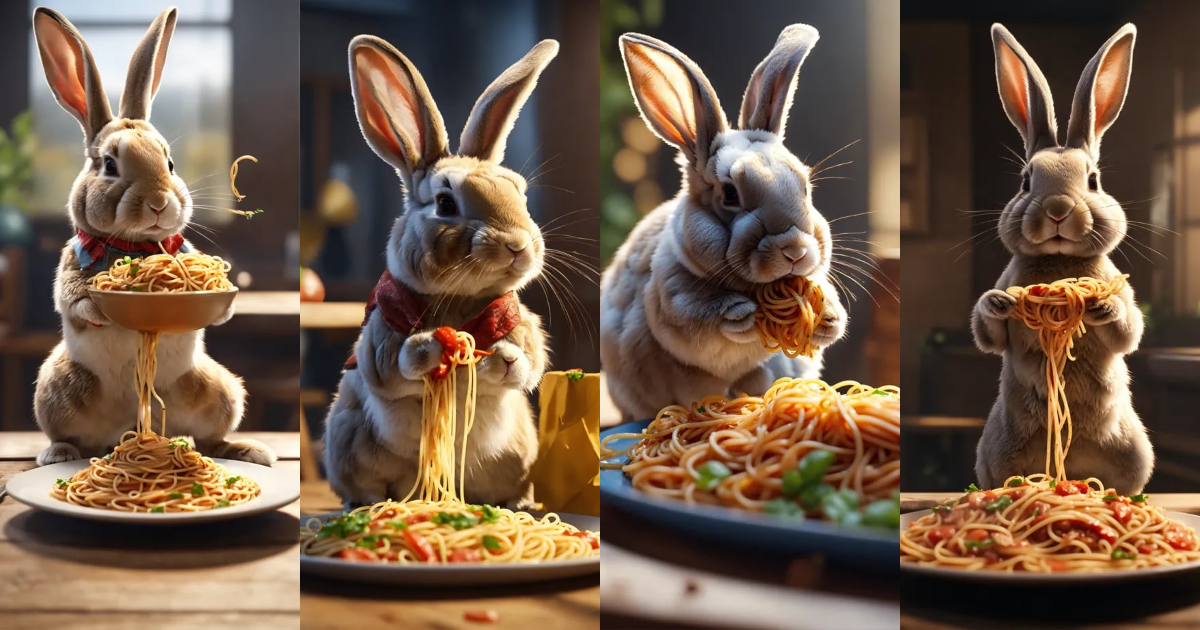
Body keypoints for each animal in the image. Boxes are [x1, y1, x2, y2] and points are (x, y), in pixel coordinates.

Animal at [30, 7, 273, 468]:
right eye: (109, 165)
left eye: (170, 163)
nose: (160, 202)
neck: (136, 245)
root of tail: (129, 427)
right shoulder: (70, 265)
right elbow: (72, 296)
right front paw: (98, 310)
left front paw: (223, 310)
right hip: (56, 391)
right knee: (68, 433)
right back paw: (58, 454)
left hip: (218, 390)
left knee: (210, 438)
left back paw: (251, 451)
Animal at [323, 35, 556, 510]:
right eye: (446, 204)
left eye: (520, 193)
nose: (518, 245)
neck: (461, 301)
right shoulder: (381, 336)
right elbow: (392, 367)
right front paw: (430, 347)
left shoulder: (522, 325)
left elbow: (529, 363)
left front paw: (502, 357)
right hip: (349, 441)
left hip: (518, 453)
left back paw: (519, 506)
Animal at [600, 24, 848, 422]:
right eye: (730, 194)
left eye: (805, 184)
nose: (795, 251)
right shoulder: (673, 296)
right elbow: (703, 322)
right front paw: (741, 314)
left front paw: (828, 320)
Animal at [972, 24, 1151, 495]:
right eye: (1025, 181)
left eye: (1093, 180)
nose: (1057, 209)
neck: (1059, 263)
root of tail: (1074, 470)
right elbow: (988, 334)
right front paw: (998, 302)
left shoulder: (1125, 296)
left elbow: (1129, 330)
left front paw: (1101, 305)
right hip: (998, 451)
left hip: (1136, 452)